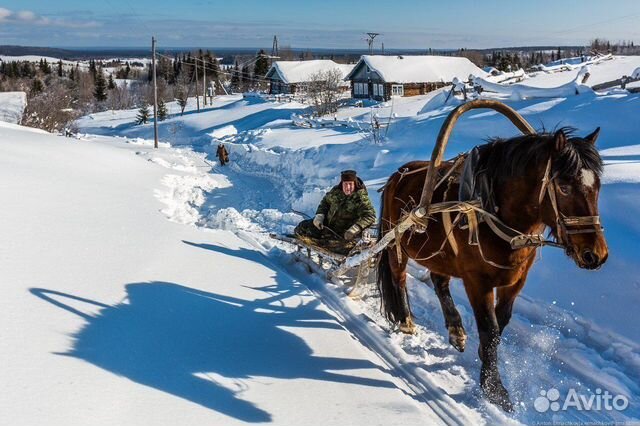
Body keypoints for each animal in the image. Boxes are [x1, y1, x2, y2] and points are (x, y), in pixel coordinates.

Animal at [376, 100, 608, 411]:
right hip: (396, 245)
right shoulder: (478, 282)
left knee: (439, 281)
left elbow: (500, 326)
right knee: (399, 278)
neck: (491, 208)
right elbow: (490, 329)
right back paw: (406, 321)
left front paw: (484, 362)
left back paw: (455, 329)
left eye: (597, 186)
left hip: (439, 254)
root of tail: (397, 175)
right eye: (564, 186)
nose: (596, 254)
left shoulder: (516, 281)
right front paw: (494, 389)